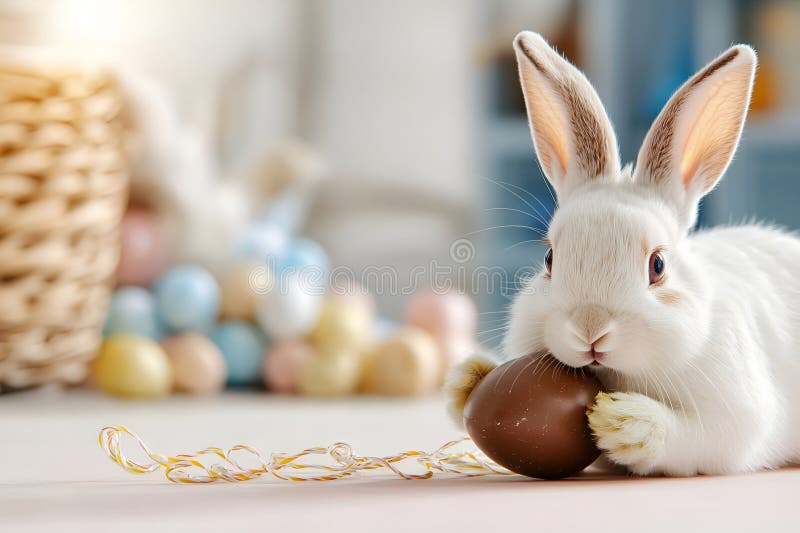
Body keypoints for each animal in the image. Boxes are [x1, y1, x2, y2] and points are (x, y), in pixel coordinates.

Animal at [446, 31, 800, 476]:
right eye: (549, 259)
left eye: (658, 265)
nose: (590, 331)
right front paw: (467, 379)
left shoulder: (736, 420)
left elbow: (698, 437)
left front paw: (625, 422)